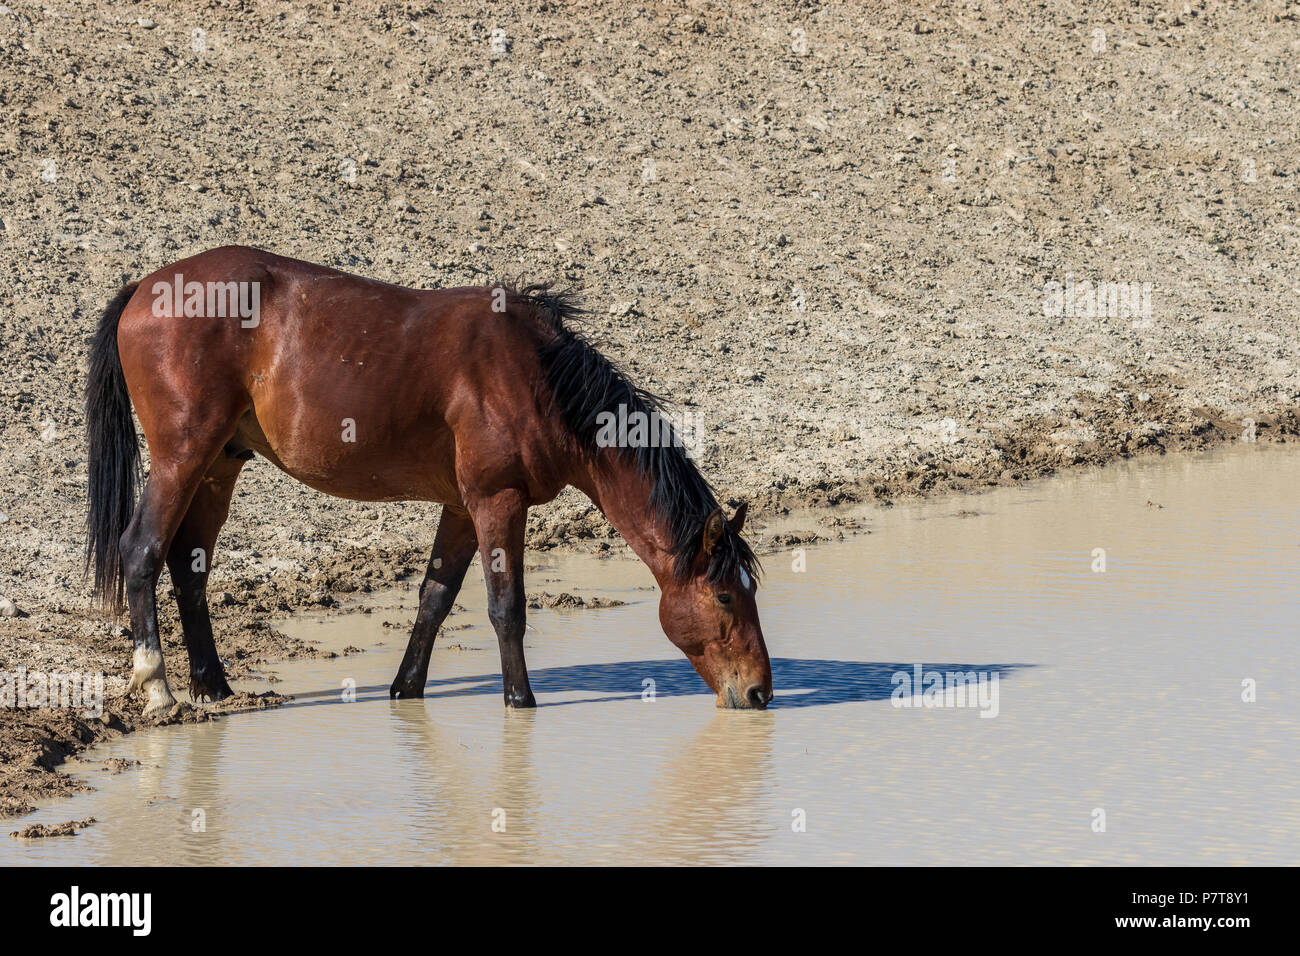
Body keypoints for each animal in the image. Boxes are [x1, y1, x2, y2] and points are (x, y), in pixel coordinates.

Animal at [85, 246, 772, 715]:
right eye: (725, 597)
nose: (761, 692)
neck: (538, 379)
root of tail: (143, 288)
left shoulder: (463, 507)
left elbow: (435, 598)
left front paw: (405, 688)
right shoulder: (498, 501)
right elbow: (506, 606)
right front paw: (520, 702)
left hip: (220, 464)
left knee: (188, 565)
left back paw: (213, 685)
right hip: (182, 456)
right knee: (141, 550)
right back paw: (158, 687)